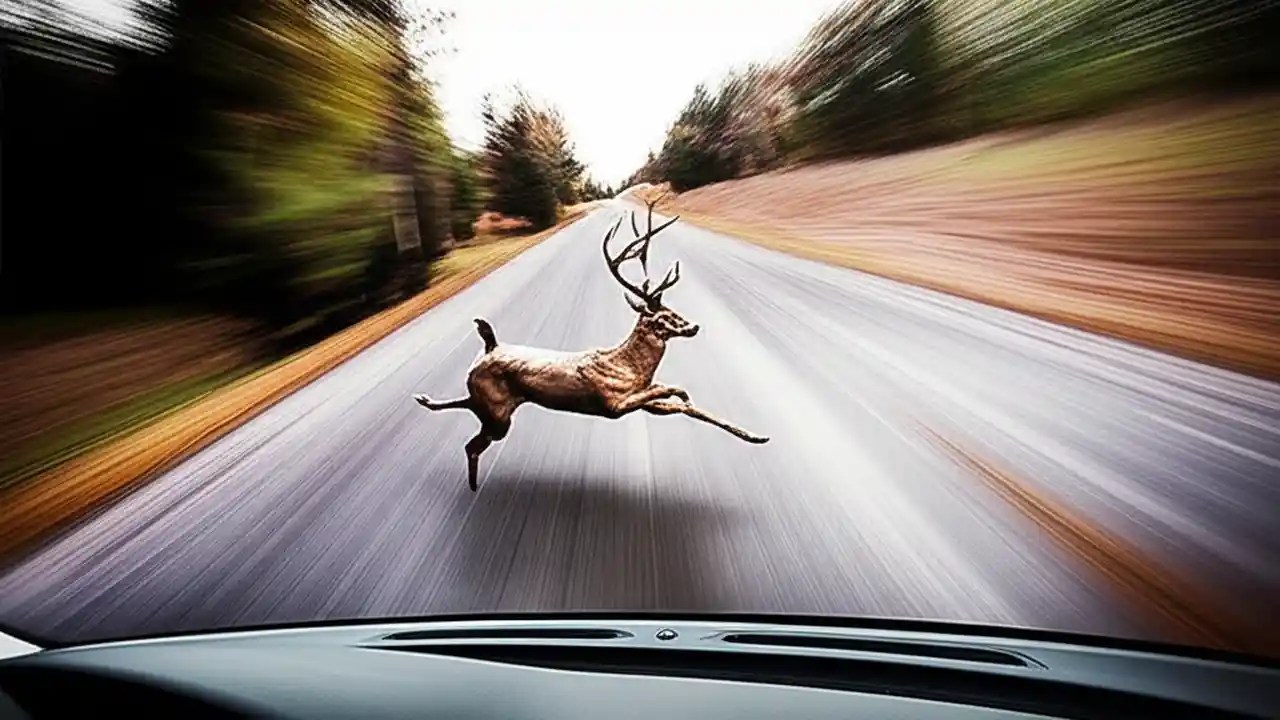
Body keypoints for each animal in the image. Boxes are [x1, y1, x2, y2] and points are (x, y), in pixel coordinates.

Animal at [412, 197, 769, 492]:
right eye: (662, 318)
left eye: (674, 309)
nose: (693, 326)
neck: (629, 368)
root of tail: (490, 347)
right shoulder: (614, 404)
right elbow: (669, 392)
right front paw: (682, 392)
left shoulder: (641, 402)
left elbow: (686, 408)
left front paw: (756, 436)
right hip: (498, 416)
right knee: (471, 444)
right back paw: (473, 488)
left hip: (489, 407)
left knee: (464, 410)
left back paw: (425, 400)